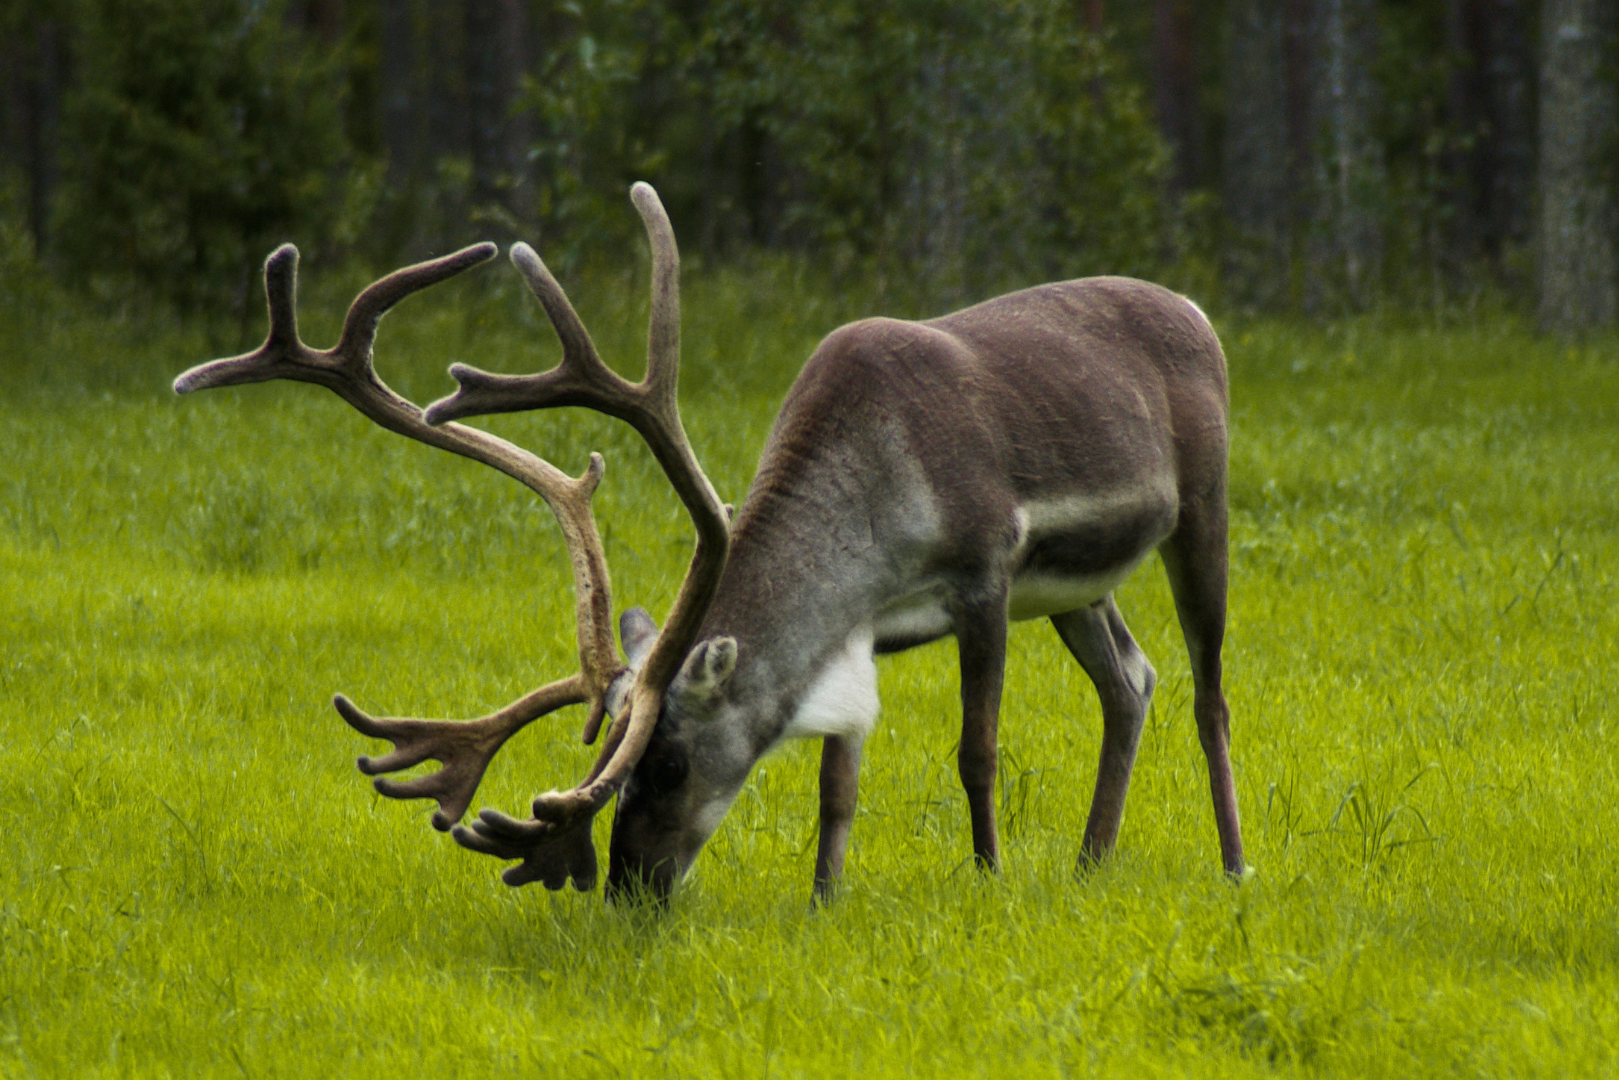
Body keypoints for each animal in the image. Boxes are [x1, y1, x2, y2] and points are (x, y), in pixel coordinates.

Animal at [174, 183, 1246, 903]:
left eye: (672, 765)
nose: (629, 890)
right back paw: (1090, 861)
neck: (878, 515)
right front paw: (823, 901)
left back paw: (1234, 863)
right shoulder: (864, 628)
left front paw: (983, 880)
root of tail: (1197, 309)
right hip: (1079, 587)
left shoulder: (986, 568)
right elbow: (837, 778)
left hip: (1202, 500)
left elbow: (974, 750)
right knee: (1130, 679)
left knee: (1206, 688)